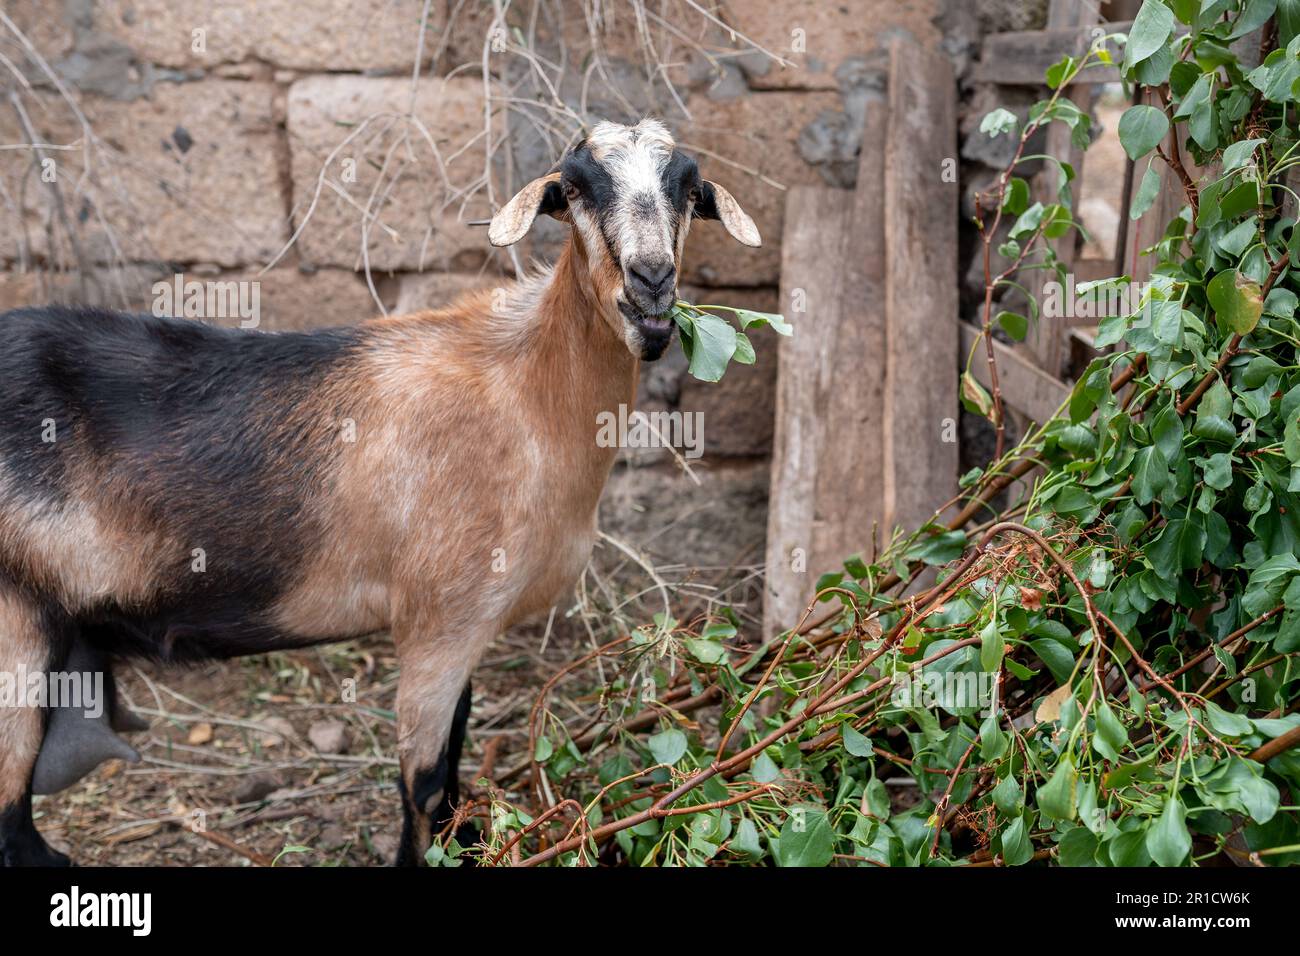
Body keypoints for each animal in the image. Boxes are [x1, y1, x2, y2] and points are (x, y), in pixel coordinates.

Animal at [0, 118, 760, 866]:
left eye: (688, 188)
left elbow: (454, 760)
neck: (524, 392)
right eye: (573, 189)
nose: (651, 283)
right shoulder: (438, 619)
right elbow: (423, 783)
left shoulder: (466, 627)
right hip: (16, 626)